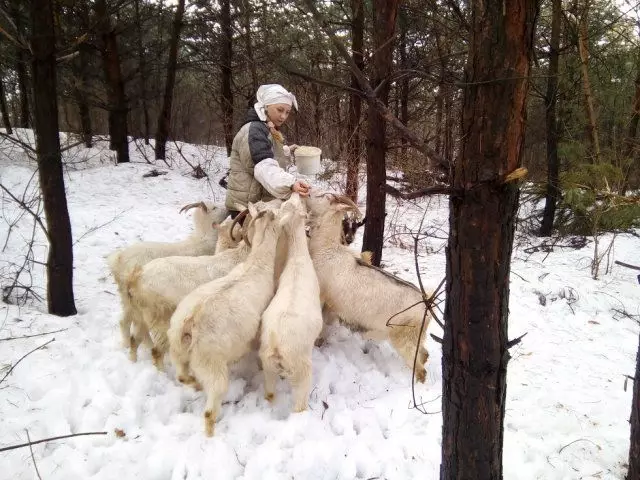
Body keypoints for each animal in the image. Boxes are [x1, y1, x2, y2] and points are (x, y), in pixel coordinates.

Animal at [109, 201, 229, 358]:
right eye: (214, 207)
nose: (228, 210)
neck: (202, 237)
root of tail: (118, 260)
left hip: (127, 299)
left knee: (124, 321)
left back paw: (126, 344)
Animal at [258, 194, 322, 412]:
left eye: (288, 204)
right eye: (298, 204)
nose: (297, 193)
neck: (297, 260)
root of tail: (276, 344)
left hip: (267, 367)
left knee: (269, 392)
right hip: (301, 367)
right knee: (299, 403)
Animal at [304, 193, 430, 384]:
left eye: (324, 196)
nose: (306, 192)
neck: (327, 249)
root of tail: (427, 306)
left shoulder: (321, 296)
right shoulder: (332, 306)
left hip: (405, 340)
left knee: (421, 370)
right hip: (417, 339)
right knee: (425, 354)